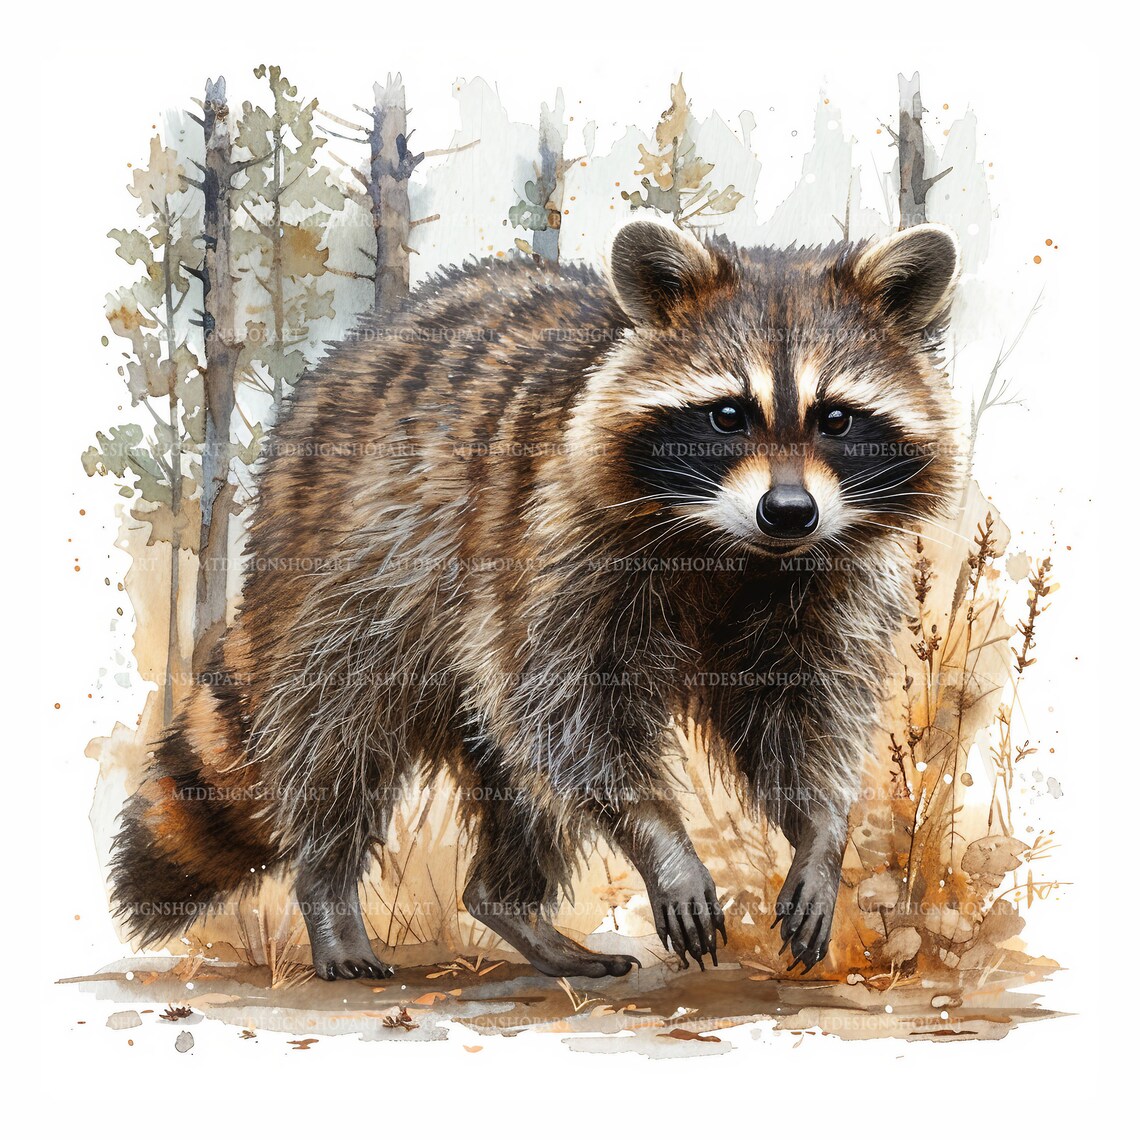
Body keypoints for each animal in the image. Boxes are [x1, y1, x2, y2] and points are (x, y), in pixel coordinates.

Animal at [110, 215, 961, 980]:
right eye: (728, 414)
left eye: (838, 418)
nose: (789, 511)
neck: (734, 550)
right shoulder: (551, 540)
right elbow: (572, 714)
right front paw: (659, 837)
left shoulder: (826, 582)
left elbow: (800, 712)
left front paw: (820, 834)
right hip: (355, 572)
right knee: (341, 738)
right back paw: (329, 891)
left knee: (512, 784)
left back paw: (510, 906)